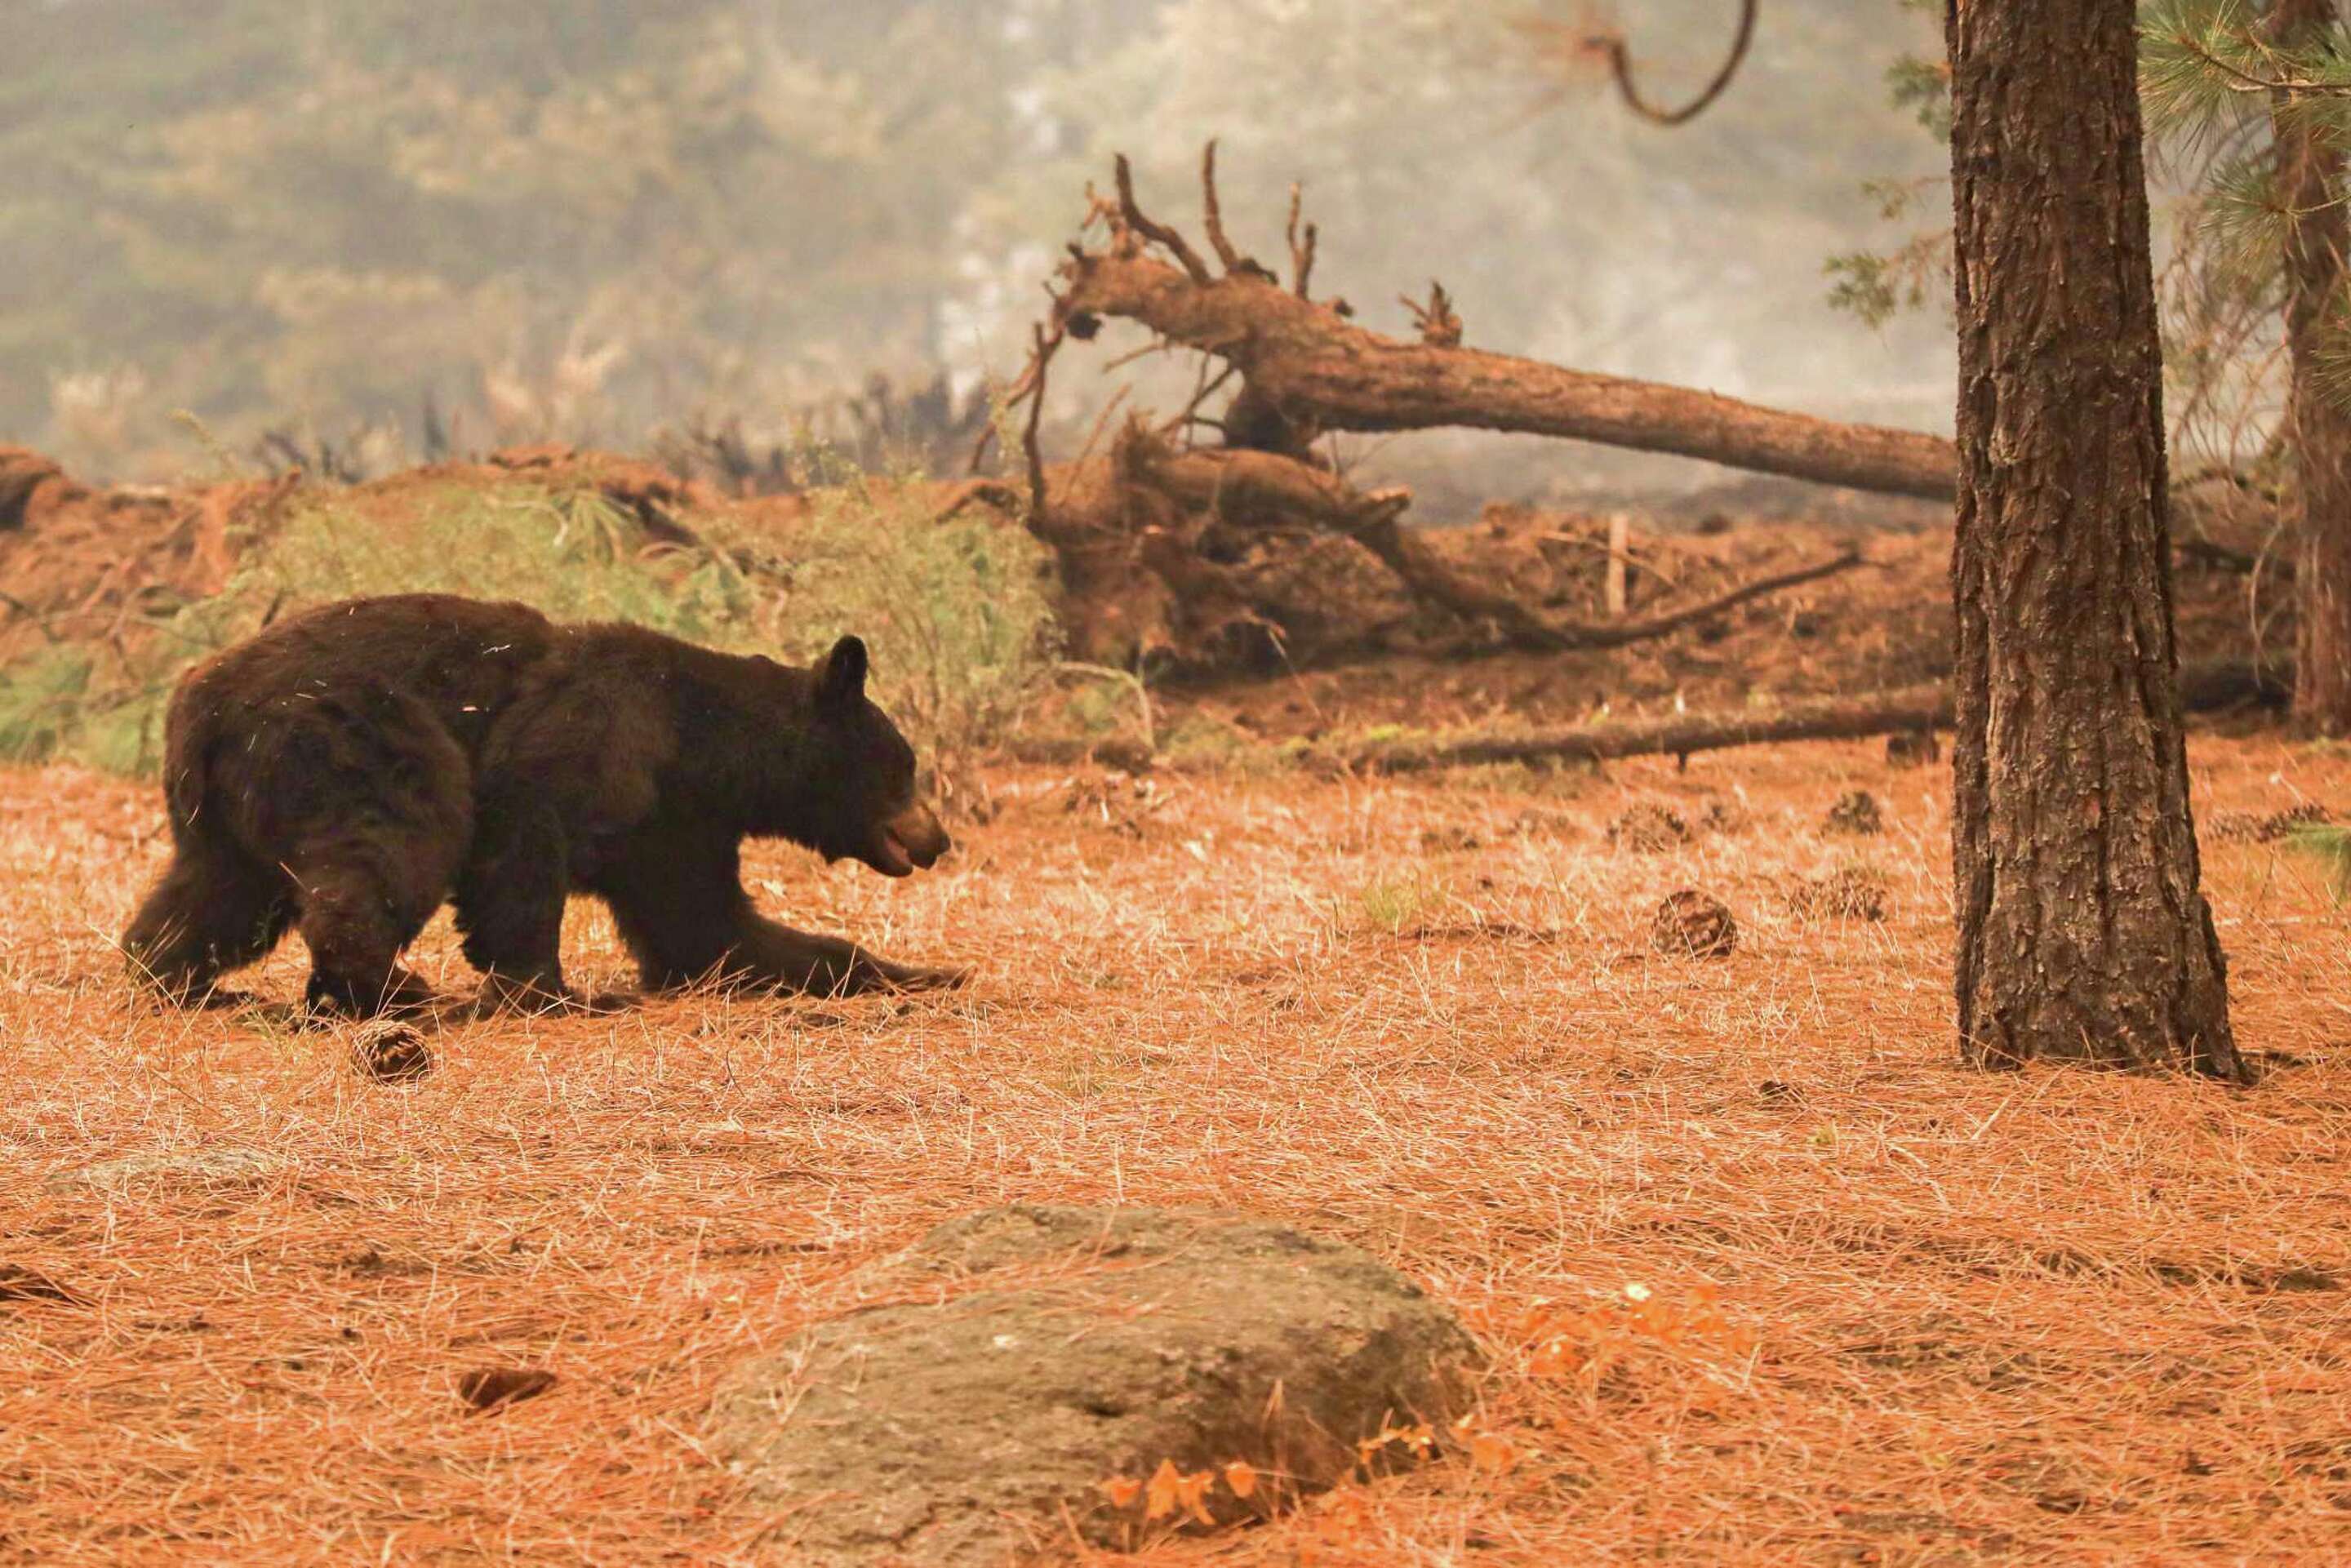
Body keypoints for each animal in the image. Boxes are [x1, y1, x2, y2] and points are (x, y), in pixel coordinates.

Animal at [121, 592, 966, 1016]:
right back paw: (390, 986)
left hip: (232, 806)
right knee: (403, 841)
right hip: (351, 735)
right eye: (904, 767)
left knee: (218, 891)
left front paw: (929, 971)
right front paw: (546, 988)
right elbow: (523, 842)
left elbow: (705, 926)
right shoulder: (597, 736)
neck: (698, 741)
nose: (936, 839)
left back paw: (181, 976)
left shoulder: (677, 821)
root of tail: (199, 706)